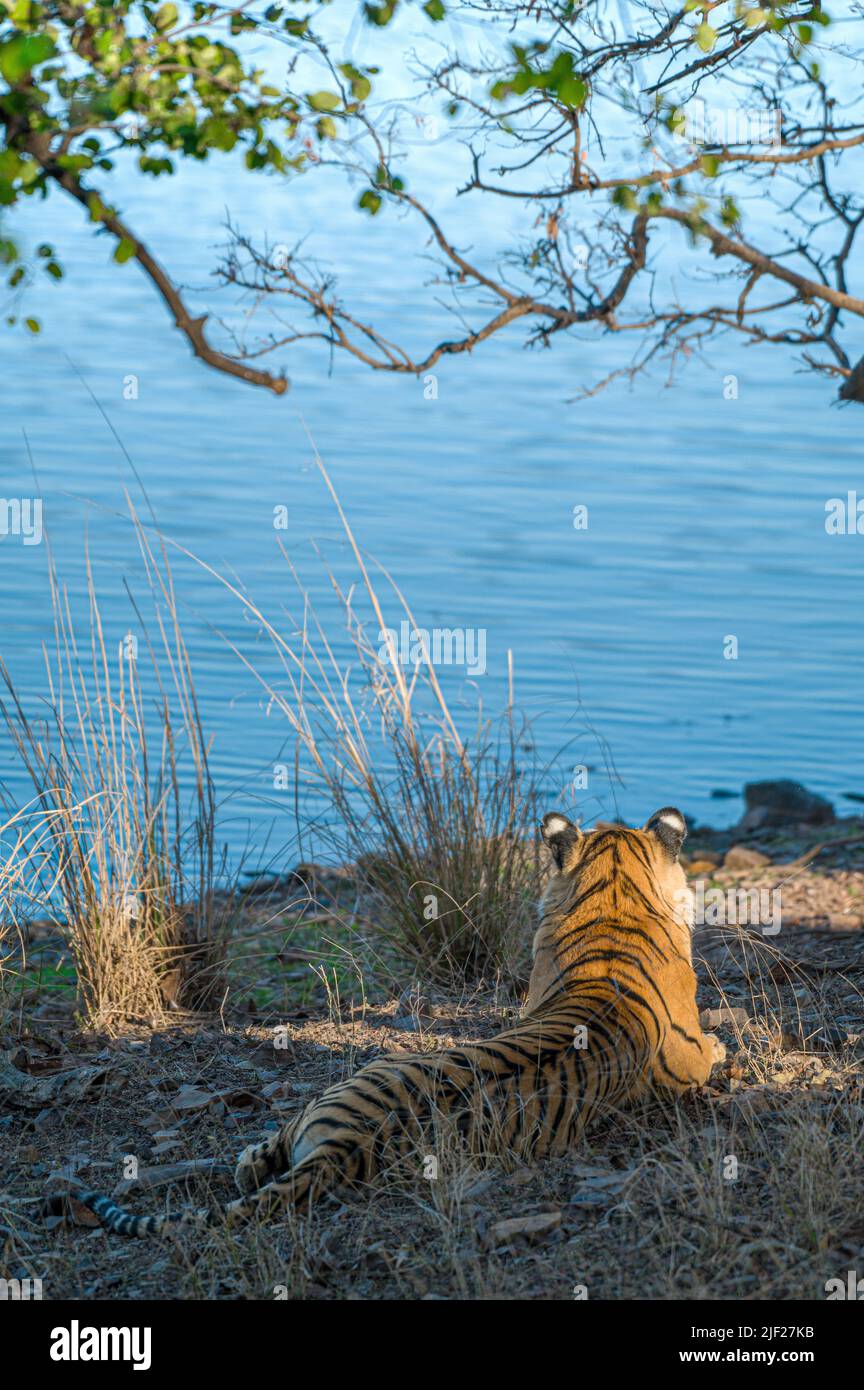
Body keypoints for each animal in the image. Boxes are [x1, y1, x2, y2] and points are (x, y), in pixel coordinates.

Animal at [48, 807, 725, 1237]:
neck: (614, 898)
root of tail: (341, 1146)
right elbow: (713, 1046)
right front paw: (723, 1041)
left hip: (354, 1080)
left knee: (255, 1162)